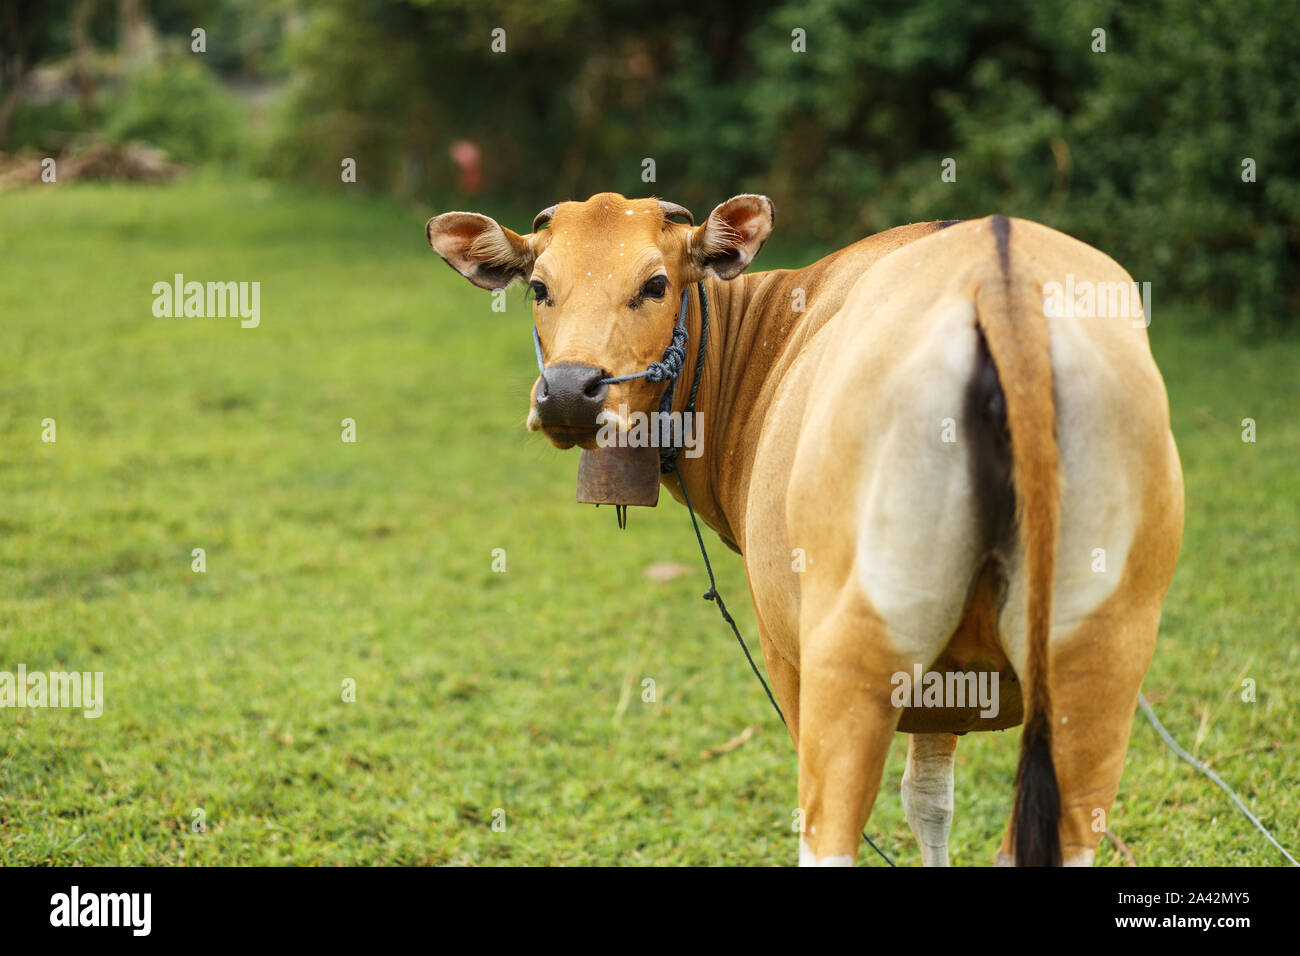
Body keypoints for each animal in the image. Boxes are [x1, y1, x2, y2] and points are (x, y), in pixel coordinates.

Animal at [426, 193, 1184, 866]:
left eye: (655, 284)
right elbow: (930, 801)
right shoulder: (950, 690)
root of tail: (1004, 280)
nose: (568, 393)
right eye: (539, 287)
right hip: (1098, 670)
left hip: (850, 659)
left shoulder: (789, 659)